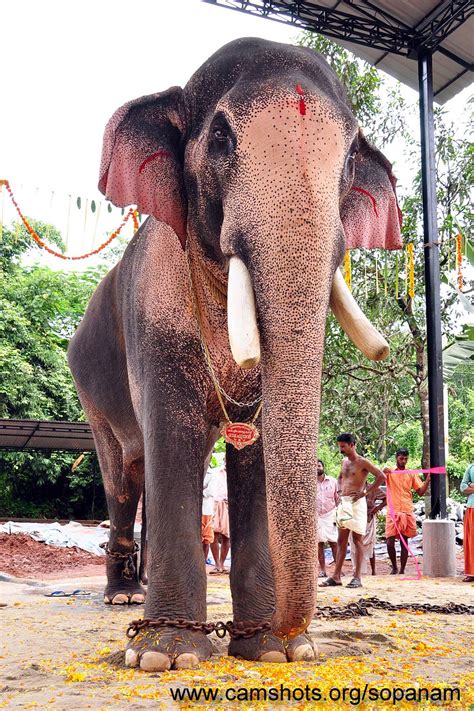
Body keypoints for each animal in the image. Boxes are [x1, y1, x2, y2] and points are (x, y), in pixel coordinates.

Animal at [68, 37, 401, 672]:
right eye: (221, 137)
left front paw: (272, 650)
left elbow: (257, 450)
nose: (297, 633)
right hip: (90, 391)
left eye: (350, 159)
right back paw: (123, 598)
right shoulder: (156, 303)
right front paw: (165, 657)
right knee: (124, 474)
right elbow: (174, 432)